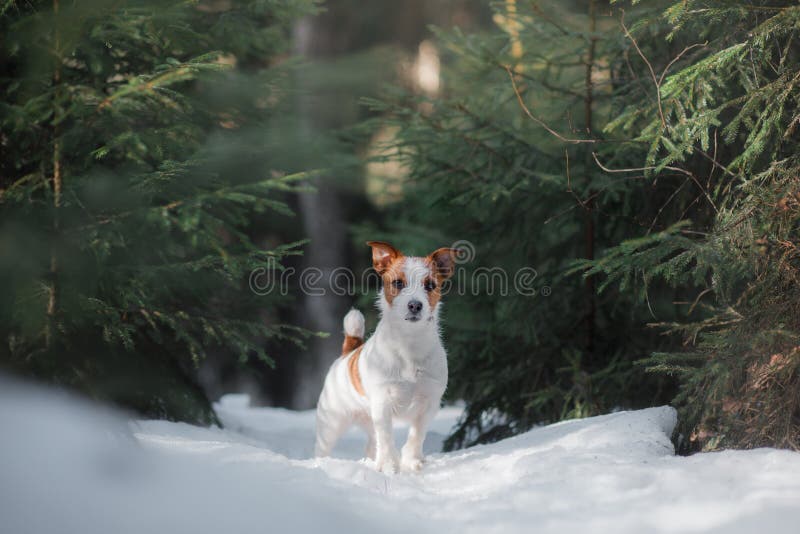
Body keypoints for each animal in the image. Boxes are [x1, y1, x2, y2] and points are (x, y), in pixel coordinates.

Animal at [318, 242, 460, 474]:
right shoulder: (382, 404)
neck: (409, 344)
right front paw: (388, 466)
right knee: (323, 447)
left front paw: (412, 461)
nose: (415, 305)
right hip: (331, 421)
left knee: (372, 443)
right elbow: (386, 438)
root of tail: (347, 352)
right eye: (398, 283)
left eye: (430, 285)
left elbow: (416, 435)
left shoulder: (429, 404)